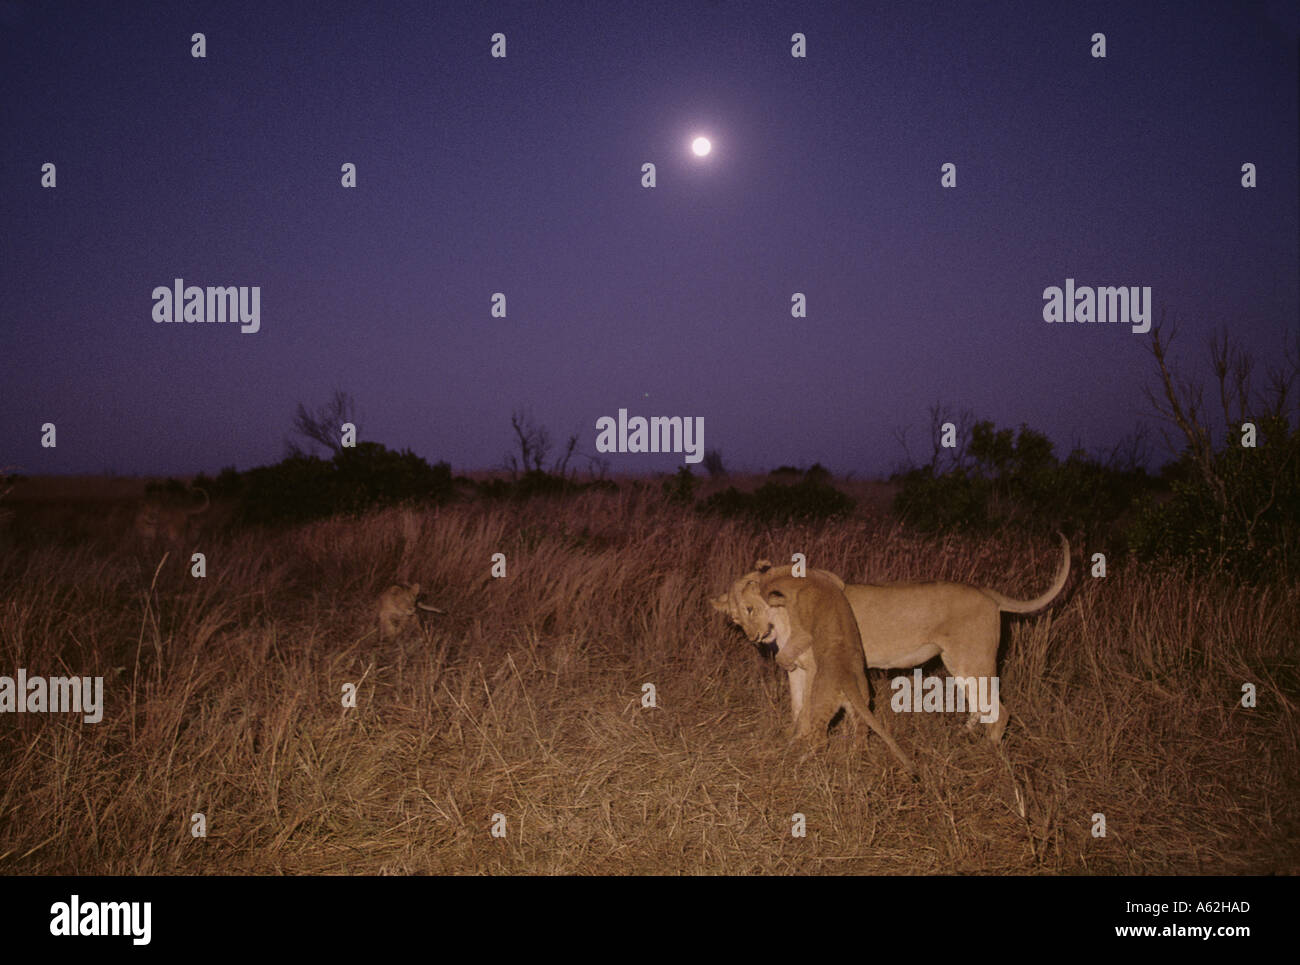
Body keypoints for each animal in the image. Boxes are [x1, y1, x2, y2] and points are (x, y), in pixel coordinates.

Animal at [711, 535, 1070, 743]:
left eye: (750, 608)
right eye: (735, 618)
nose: (754, 637)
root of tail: (987, 593)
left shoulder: (817, 667)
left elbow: (811, 708)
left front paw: (805, 743)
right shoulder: (797, 669)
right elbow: (797, 706)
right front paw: (791, 737)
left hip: (972, 660)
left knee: (1001, 712)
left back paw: (991, 757)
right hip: (963, 665)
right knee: (983, 706)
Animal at [762, 570, 916, 775]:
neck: (808, 579)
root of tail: (846, 677)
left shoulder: (800, 625)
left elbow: (794, 643)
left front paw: (786, 663)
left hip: (819, 702)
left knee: (821, 740)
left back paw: (803, 760)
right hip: (860, 704)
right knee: (861, 736)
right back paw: (854, 760)